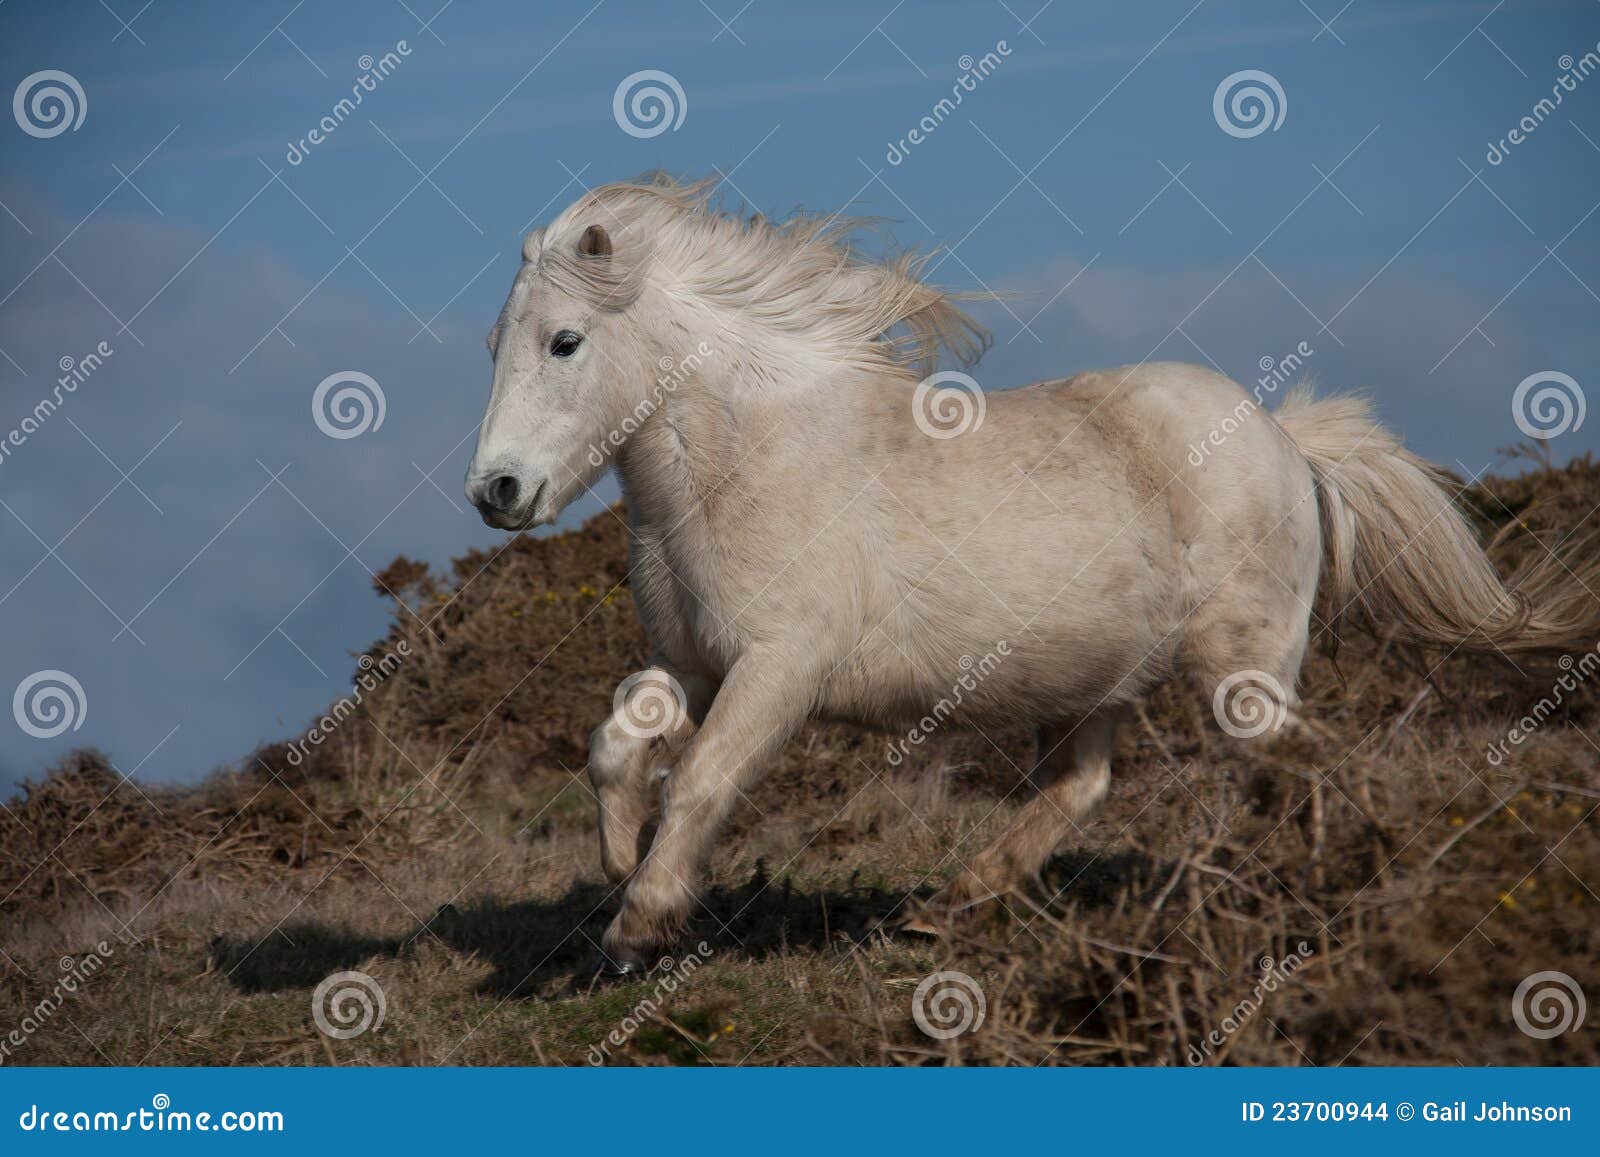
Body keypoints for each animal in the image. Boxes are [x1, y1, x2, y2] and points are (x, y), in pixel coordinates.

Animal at [465, 174, 1599, 972]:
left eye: (564, 340)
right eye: (497, 343)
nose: (498, 491)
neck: (748, 458)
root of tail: (1283, 437)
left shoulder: (779, 668)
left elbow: (702, 776)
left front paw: (642, 924)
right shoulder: (692, 659)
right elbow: (617, 743)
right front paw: (621, 864)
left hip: (1242, 667)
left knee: (1286, 767)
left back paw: (1291, 896)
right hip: (1092, 679)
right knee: (1082, 785)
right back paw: (949, 908)